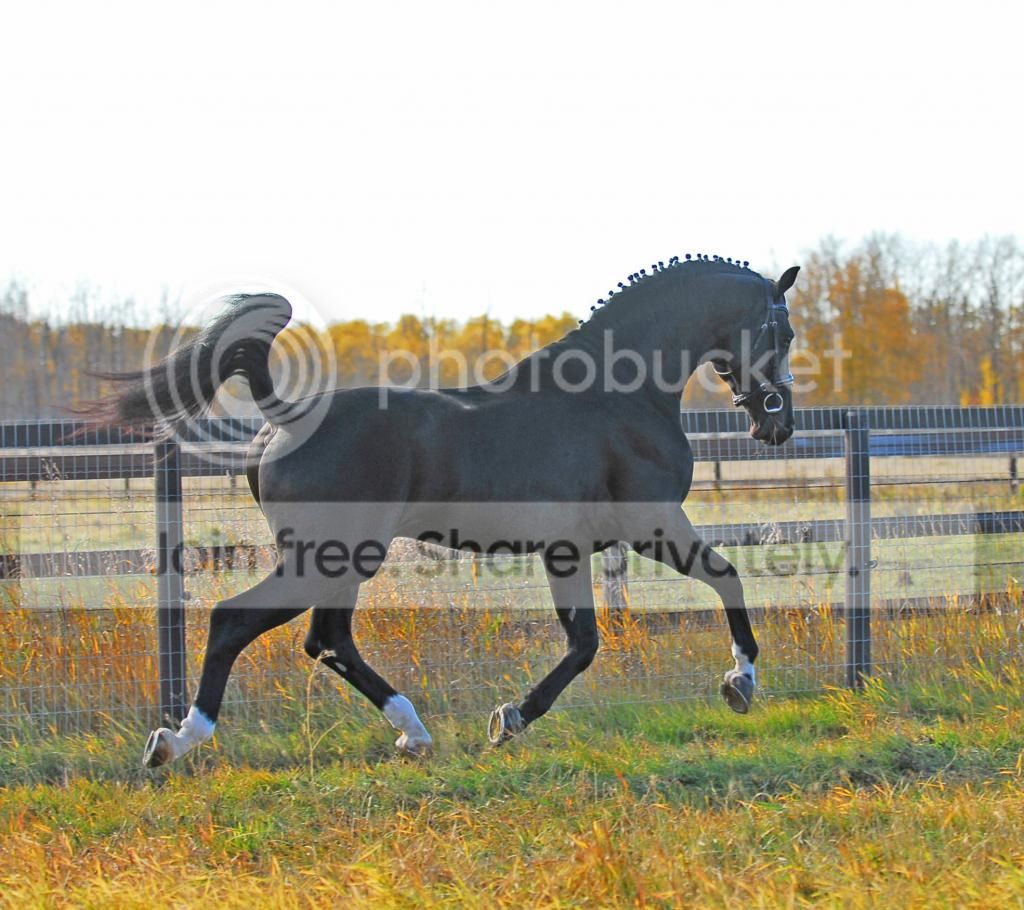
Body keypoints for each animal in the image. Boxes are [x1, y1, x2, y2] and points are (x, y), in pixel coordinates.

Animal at [83, 254, 799, 767]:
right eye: (785, 330)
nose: (778, 425)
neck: (617, 396)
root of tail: (285, 416)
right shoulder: (653, 525)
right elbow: (726, 578)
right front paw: (740, 684)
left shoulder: (567, 551)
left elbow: (584, 644)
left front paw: (509, 719)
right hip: (328, 559)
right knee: (240, 622)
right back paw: (177, 741)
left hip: (340, 563)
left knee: (327, 638)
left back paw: (414, 734)